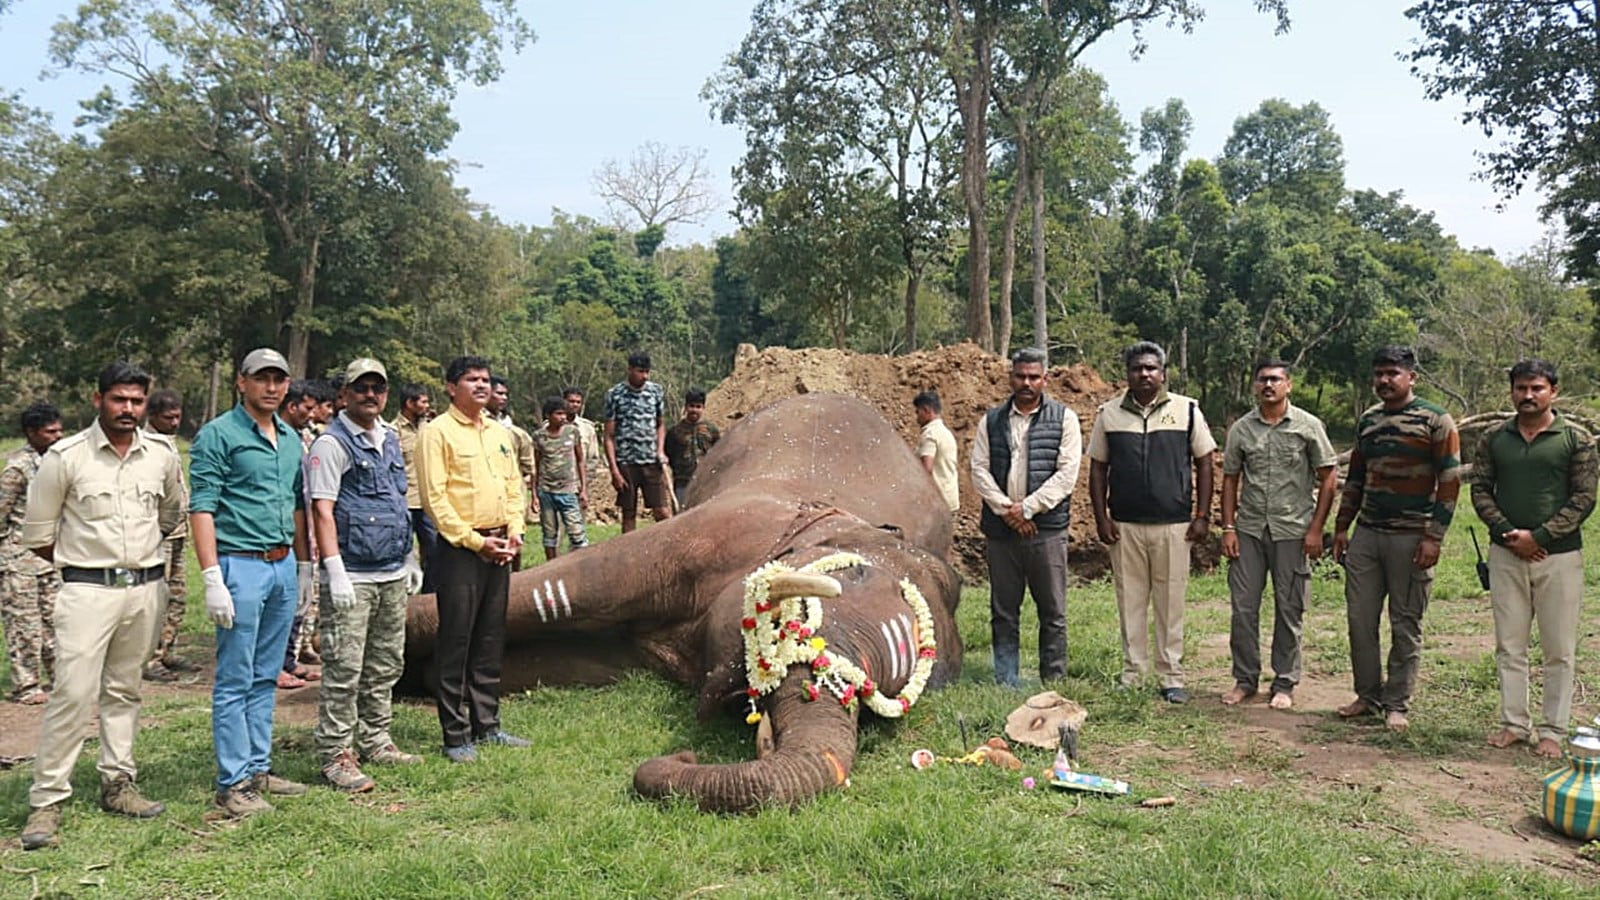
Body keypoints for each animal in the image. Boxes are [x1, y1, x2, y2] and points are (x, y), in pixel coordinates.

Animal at [403, 393, 963, 812]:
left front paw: (422, 684)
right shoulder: (720, 529)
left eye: (878, 702)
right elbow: (560, 589)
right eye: (857, 572)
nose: (687, 755)